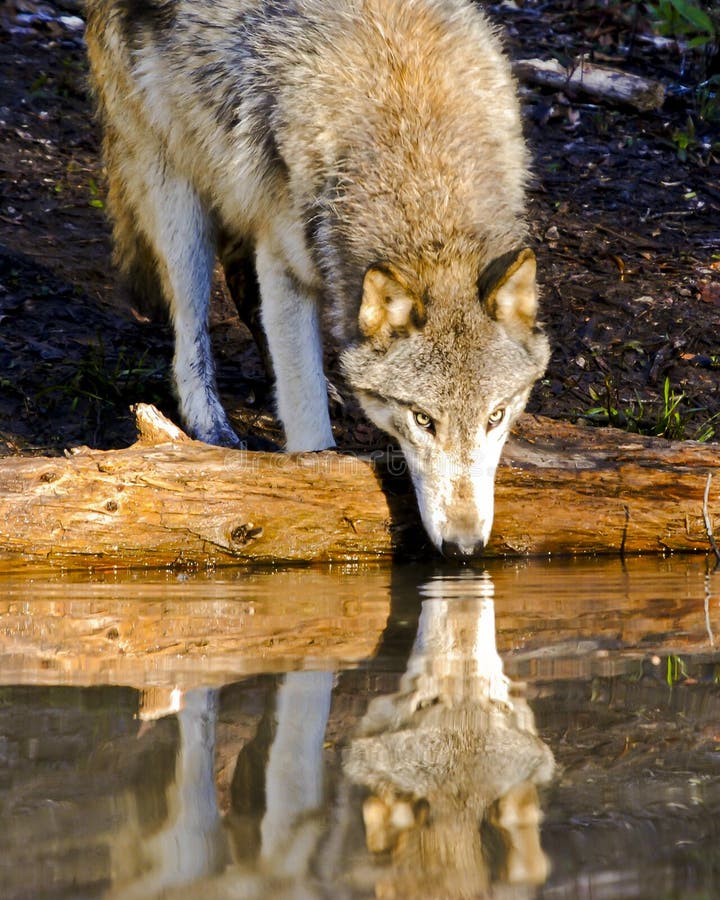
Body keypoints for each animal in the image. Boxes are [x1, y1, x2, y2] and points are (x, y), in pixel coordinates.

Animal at [84, 0, 550, 559]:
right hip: (179, 196)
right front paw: (315, 488)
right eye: (423, 420)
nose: (463, 547)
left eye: (495, 417)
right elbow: (303, 408)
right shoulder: (283, 261)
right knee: (189, 332)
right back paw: (210, 425)